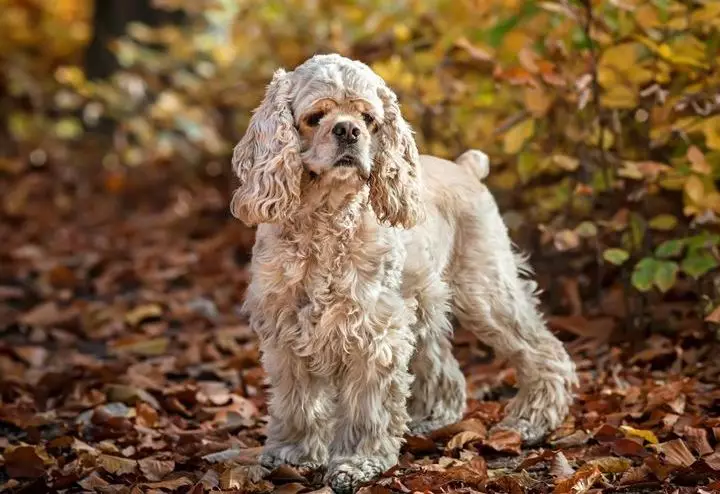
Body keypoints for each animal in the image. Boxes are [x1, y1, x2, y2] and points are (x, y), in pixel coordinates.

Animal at [228, 54, 576, 494]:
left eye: (368, 117)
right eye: (315, 116)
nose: (348, 131)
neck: (327, 216)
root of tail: (466, 168)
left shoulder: (372, 329)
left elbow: (368, 406)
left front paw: (357, 463)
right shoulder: (286, 327)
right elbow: (297, 401)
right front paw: (293, 453)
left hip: (485, 291)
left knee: (543, 351)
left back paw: (530, 421)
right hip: (423, 305)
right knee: (445, 368)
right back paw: (430, 420)